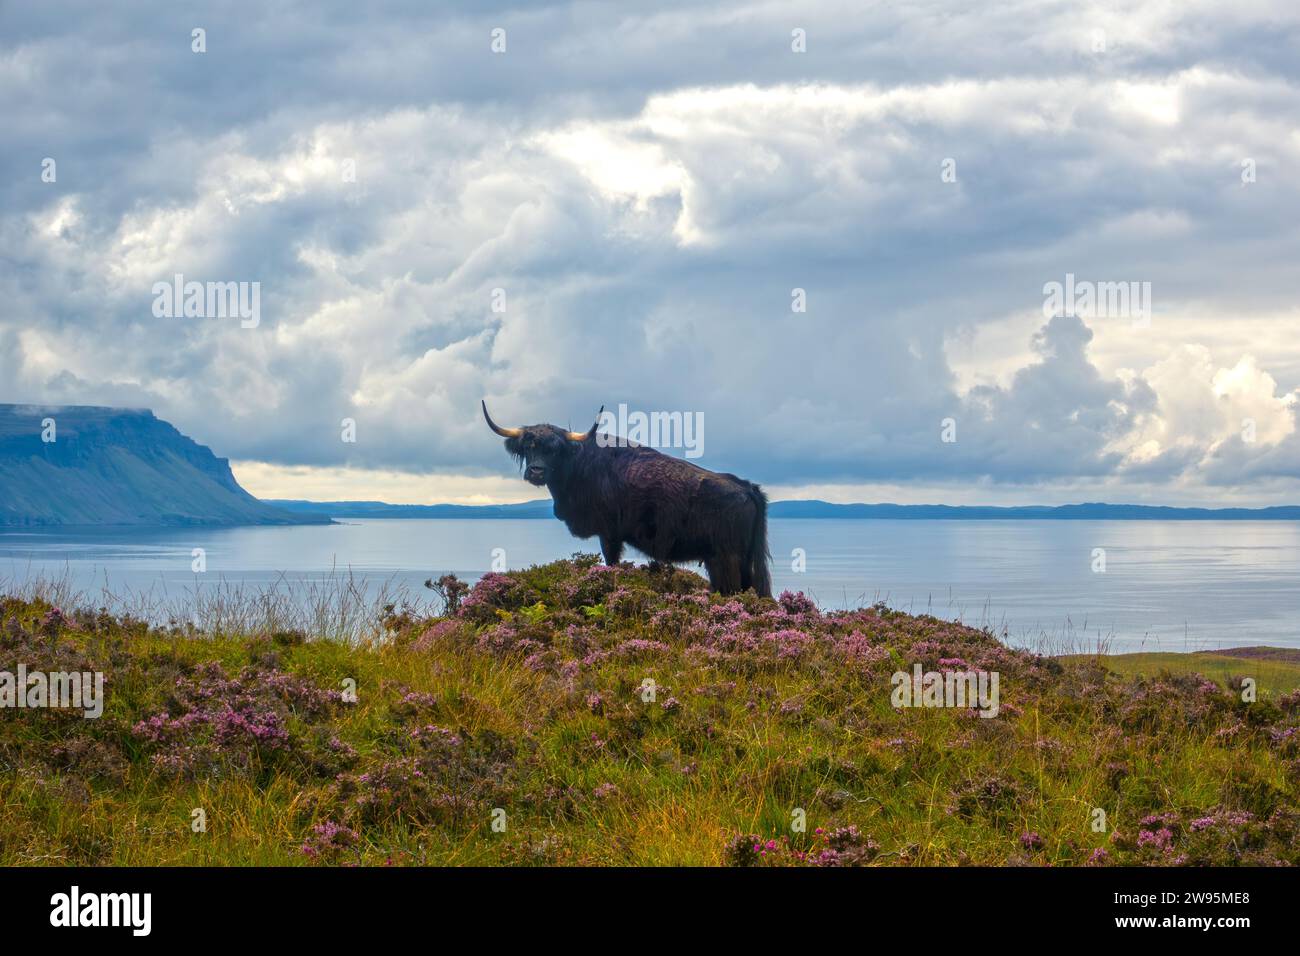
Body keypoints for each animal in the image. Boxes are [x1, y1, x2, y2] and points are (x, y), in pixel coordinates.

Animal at [482, 401, 771, 597]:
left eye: (555, 449)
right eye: (528, 447)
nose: (536, 471)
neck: (578, 467)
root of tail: (746, 487)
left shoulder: (609, 532)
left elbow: (611, 561)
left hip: (727, 558)